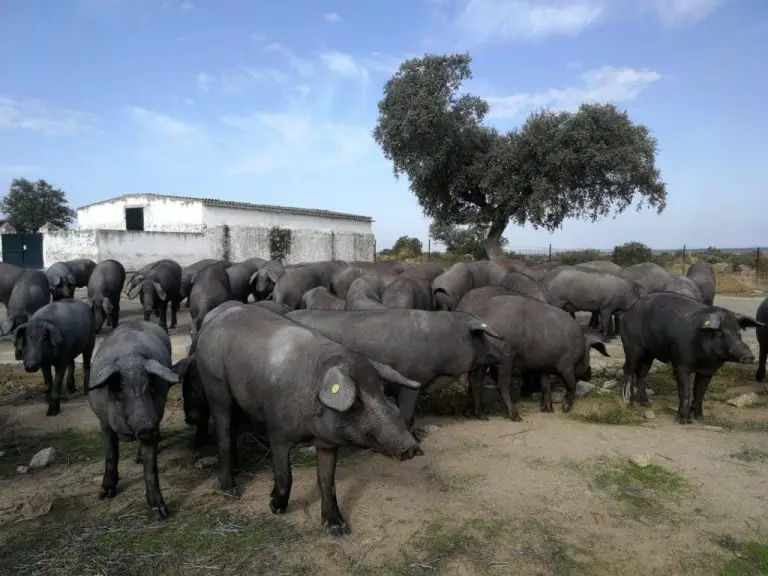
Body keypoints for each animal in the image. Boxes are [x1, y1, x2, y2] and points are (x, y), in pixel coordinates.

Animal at [88, 320, 183, 519]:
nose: (146, 427)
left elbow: (151, 467)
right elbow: (111, 455)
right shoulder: (104, 421)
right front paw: (104, 495)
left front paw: (160, 513)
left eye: (151, 388)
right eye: (120, 390)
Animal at [184, 305, 423, 536]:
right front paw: (274, 507)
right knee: (223, 431)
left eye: (381, 392)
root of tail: (212, 322)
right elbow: (285, 474)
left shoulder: (327, 443)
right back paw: (231, 491)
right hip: (215, 383)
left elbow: (327, 480)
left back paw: (238, 472)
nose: (411, 446)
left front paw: (339, 530)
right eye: (356, 401)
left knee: (232, 430)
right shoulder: (276, 431)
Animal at [464, 294, 609, 416]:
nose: (590, 373)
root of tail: (480, 316)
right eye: (589, 353)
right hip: (505, 357)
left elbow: (545, 386)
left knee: (475, 381)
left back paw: (480, 414)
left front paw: (548, 410)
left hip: (482, 360)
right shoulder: (566, 365)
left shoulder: (543, 367)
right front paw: (565, 408)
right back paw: (515, 416)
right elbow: (571, 385)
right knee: (501, 385)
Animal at [619, 292, 761, 423]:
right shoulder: (680, 364)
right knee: (628, 369)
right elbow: (685, 391)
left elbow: (700, 392)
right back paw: (627, 403)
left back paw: (646, 403)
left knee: (641, 373)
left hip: (649, 353)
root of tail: (628, 311)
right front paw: (684, 420)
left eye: (738, 332)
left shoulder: (707, 371)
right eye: (720, 333)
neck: (704, 359)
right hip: (632, 347)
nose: (749, 356)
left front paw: (700, 417)